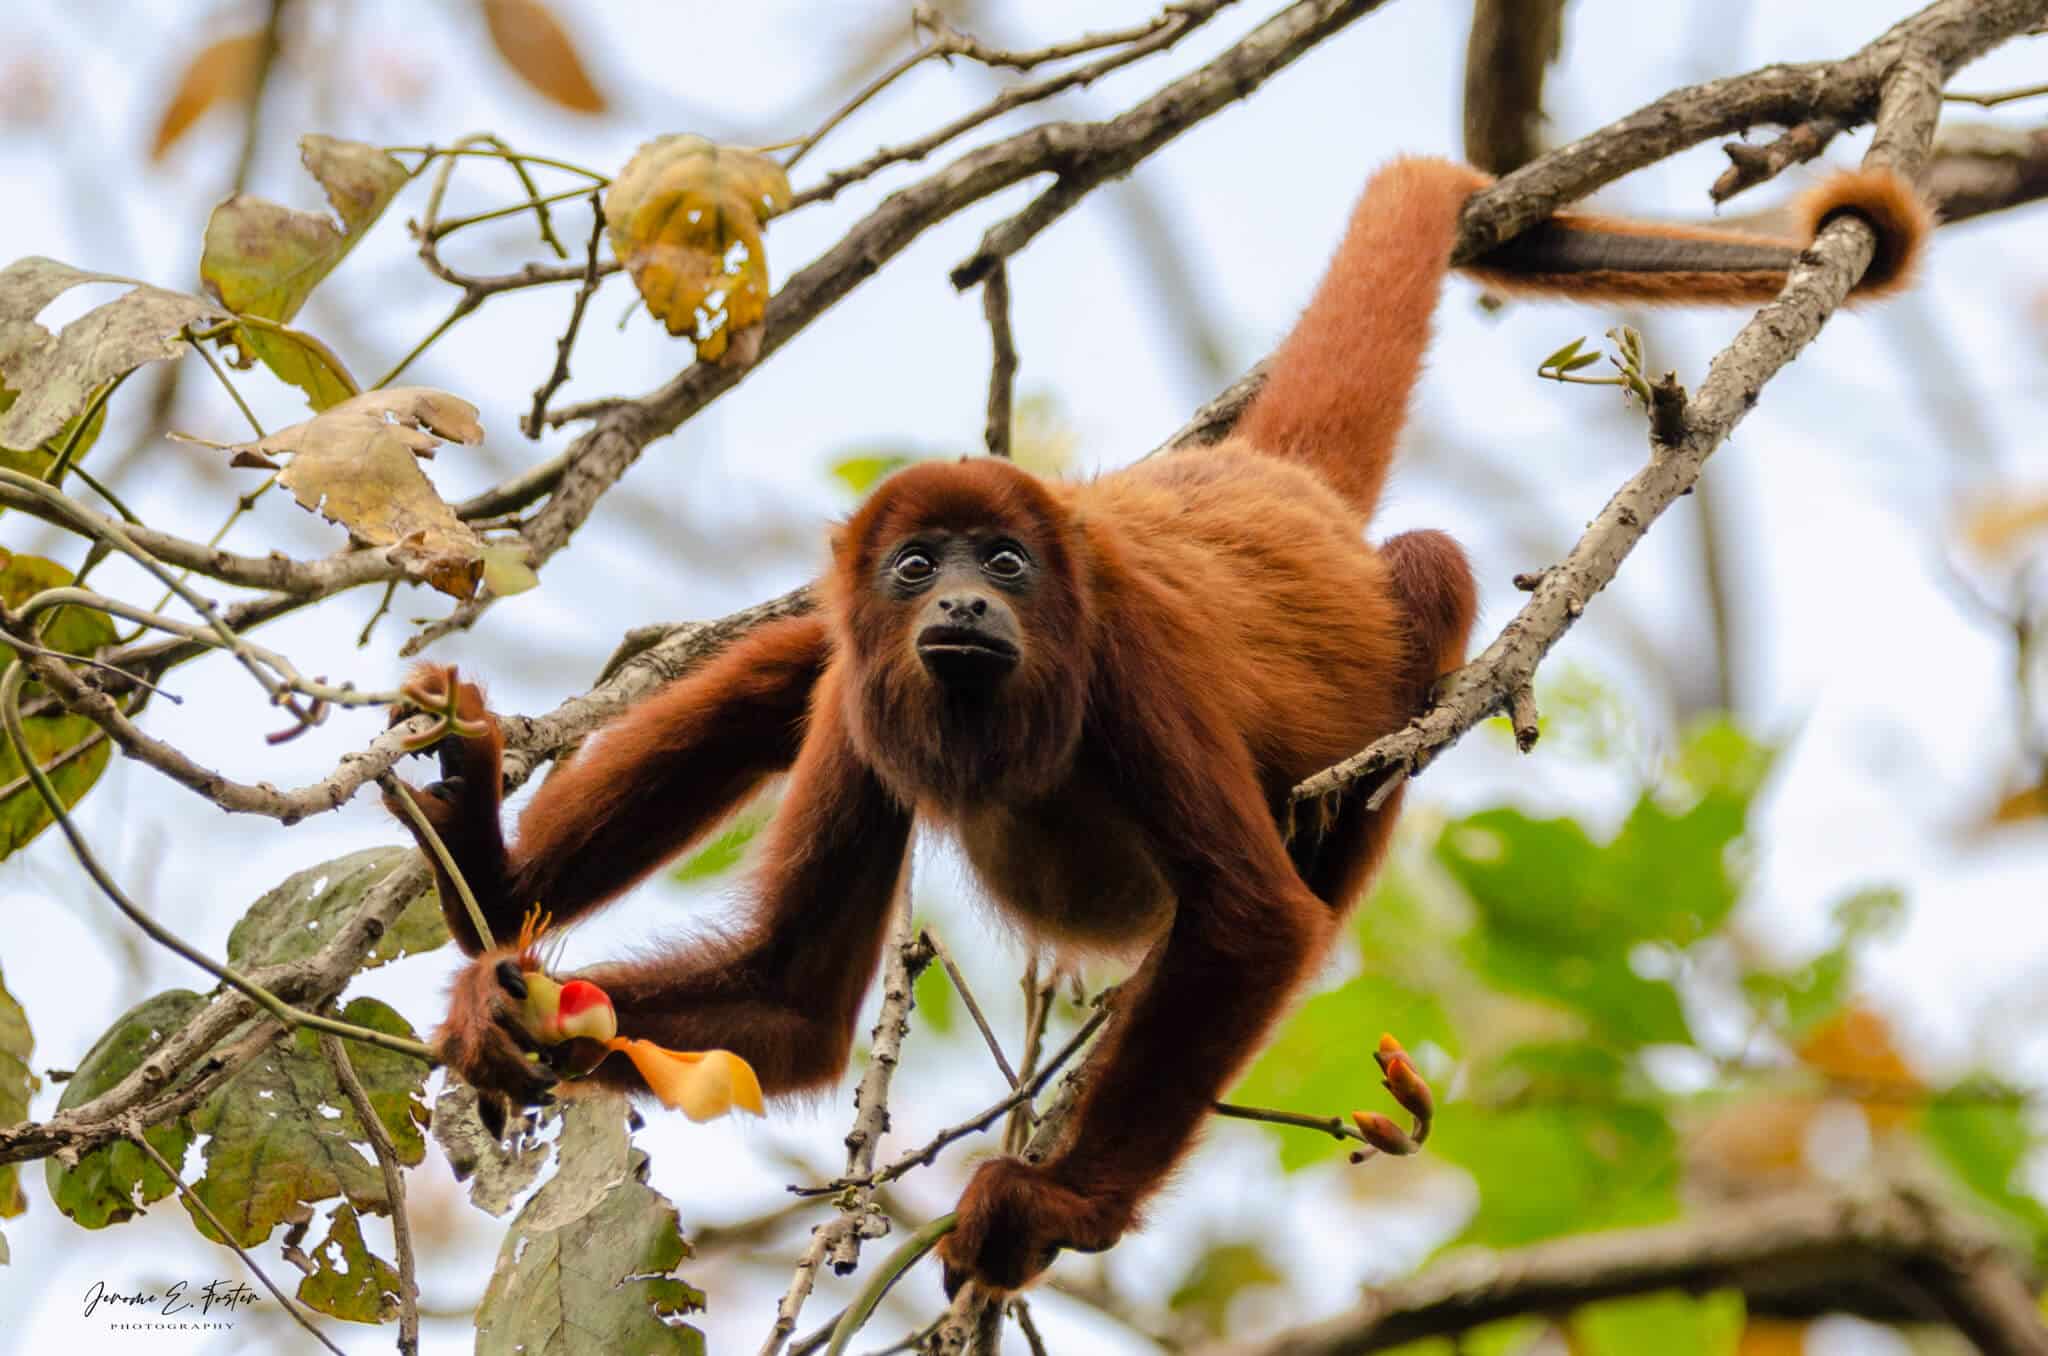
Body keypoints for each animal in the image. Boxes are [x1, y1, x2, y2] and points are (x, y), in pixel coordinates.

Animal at [387, 157, 1929, 1293]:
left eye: (1005, 563)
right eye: (918, 564)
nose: (963, 602)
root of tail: (1260, 478)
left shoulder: (1132, 670)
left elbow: (1250, 924)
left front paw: (1058, 1209)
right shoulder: (868, 710)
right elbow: (793, 1002)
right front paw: (511, 1015)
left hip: (1378, 612)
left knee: (1428, 587)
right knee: (778, 670)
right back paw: (489, 884)